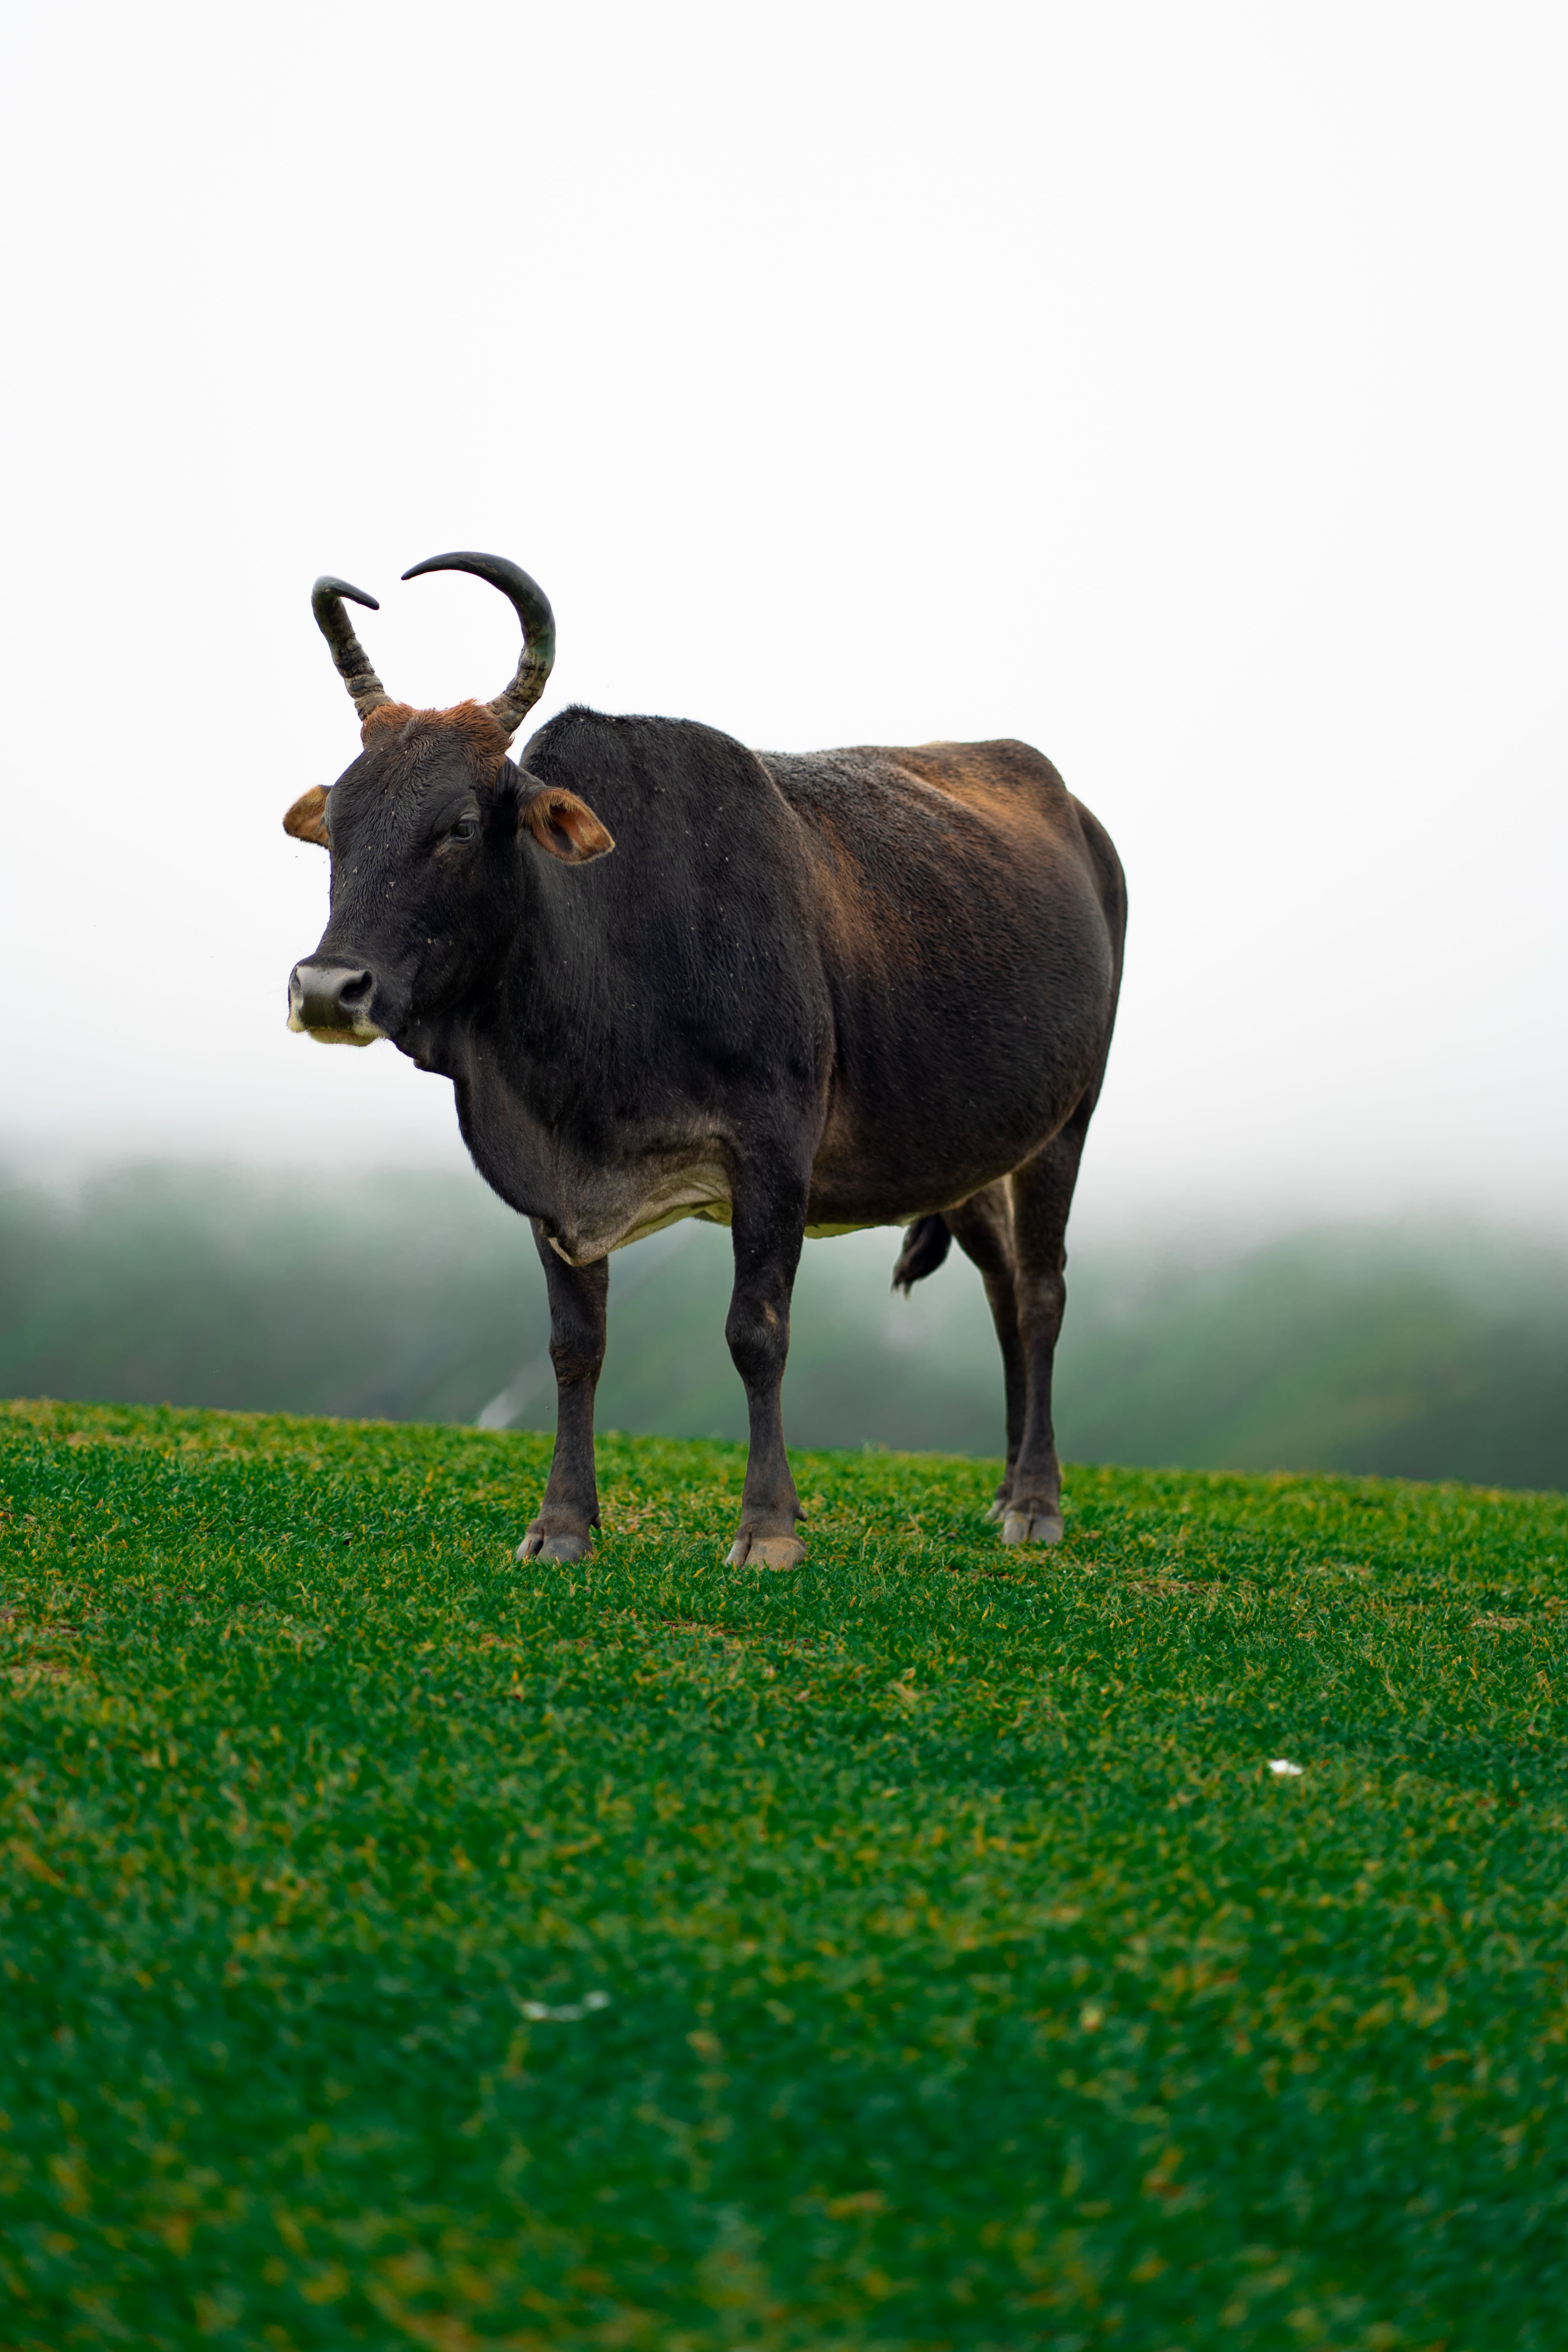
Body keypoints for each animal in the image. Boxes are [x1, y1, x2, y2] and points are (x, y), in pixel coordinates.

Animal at [285, 553, 1126, 1569]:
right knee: (1003, 1292)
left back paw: (1035, 1502)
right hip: (965, 1156)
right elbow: (575, 1343)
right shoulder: (550, 1185)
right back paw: (1004, 1489)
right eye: (337, 825)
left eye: (457, 825)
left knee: (1040, 1293)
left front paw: (767, 1527)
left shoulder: (772, 1149)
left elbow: (755, 1331)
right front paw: (561, 1524)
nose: (327, 988)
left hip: (1066, 1122)